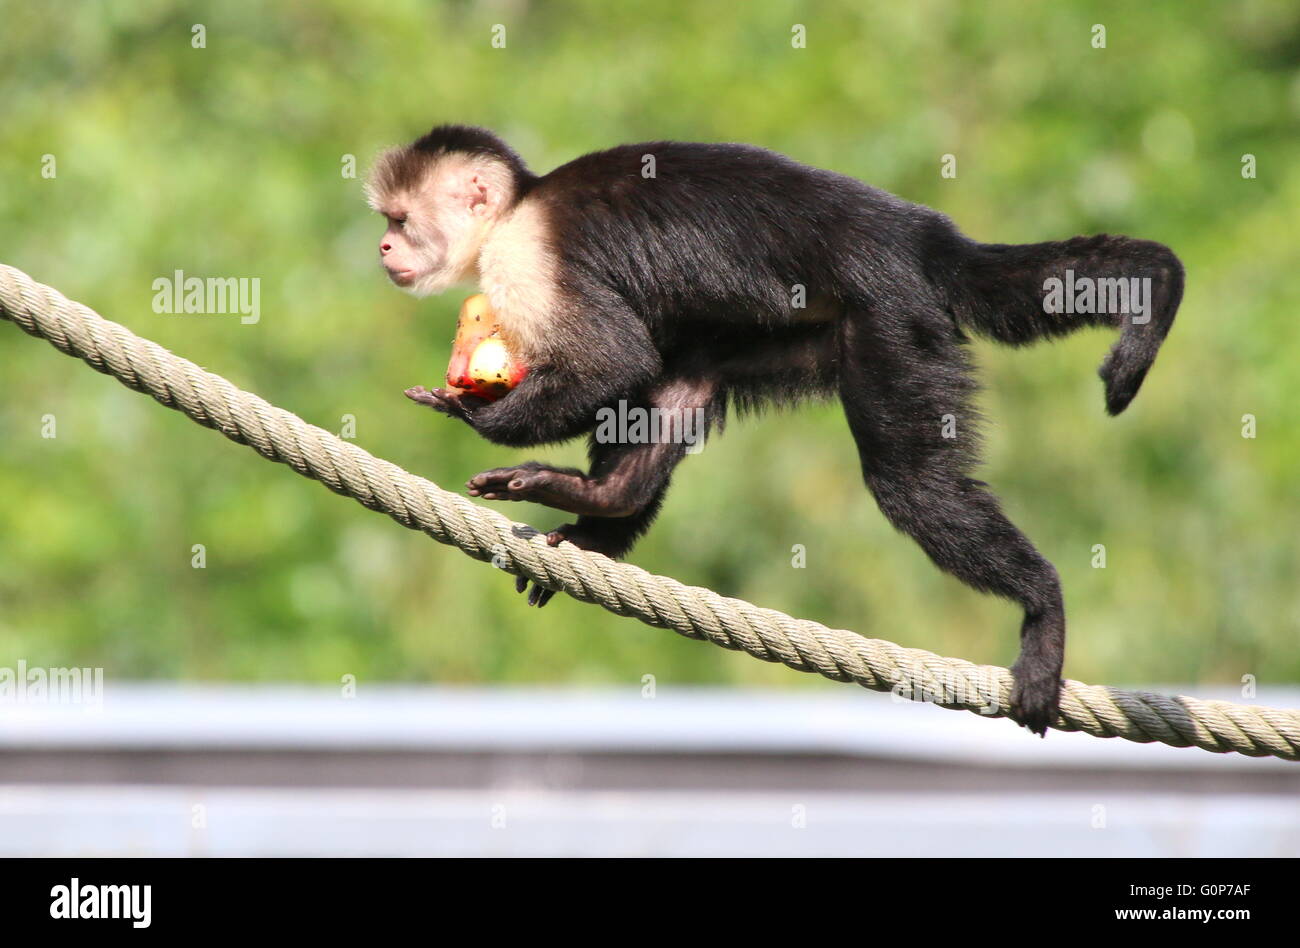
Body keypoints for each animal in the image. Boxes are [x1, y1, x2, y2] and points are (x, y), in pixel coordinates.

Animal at [364, 124, 1184, 736]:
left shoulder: (525, 258)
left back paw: (1042, 606)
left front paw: (472, 414)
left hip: (892, 316)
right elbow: (639, 373)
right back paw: (606, 502)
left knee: (910, 485)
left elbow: (615, 359)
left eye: (399, 220)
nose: (382, 248)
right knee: (687, 372)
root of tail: (921, 236)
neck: (517, 209)